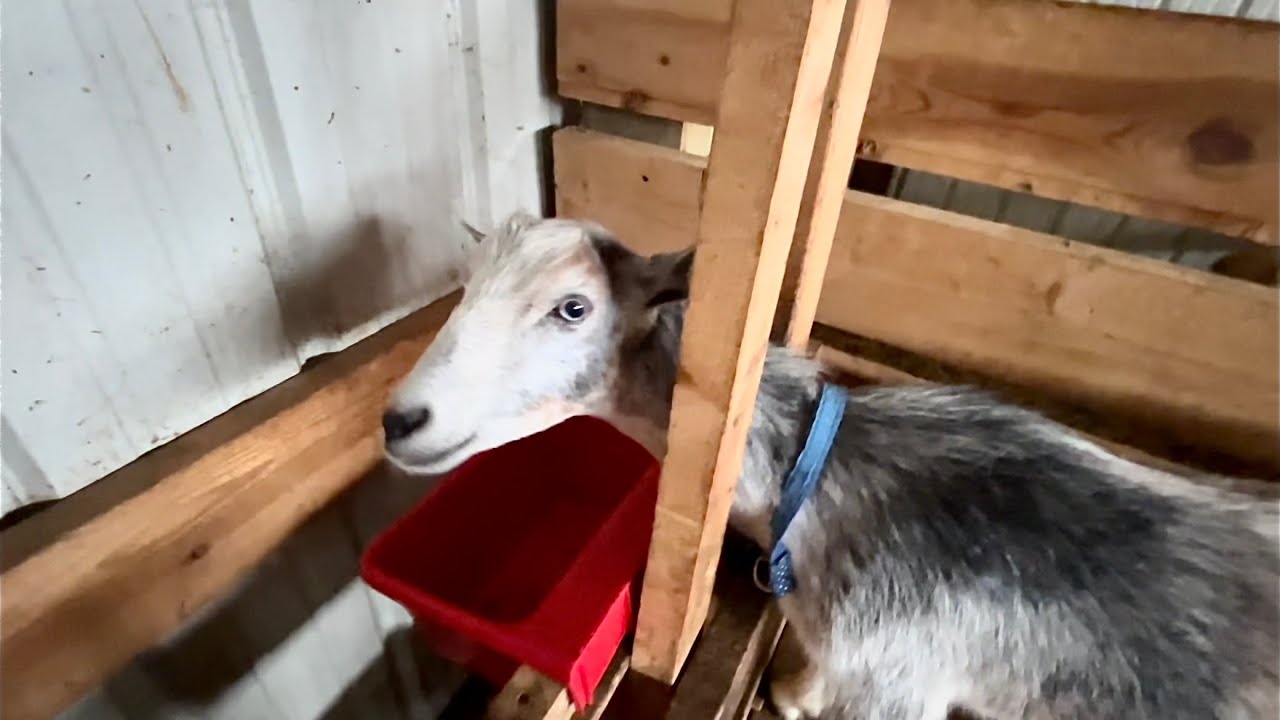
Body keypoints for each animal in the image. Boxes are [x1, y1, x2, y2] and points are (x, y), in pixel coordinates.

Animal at [383, 211, 1279, 719]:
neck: (817, 483)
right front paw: (791, 694)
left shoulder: (902, 683)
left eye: (573, 308)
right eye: (463, 288)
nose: (400, 419)